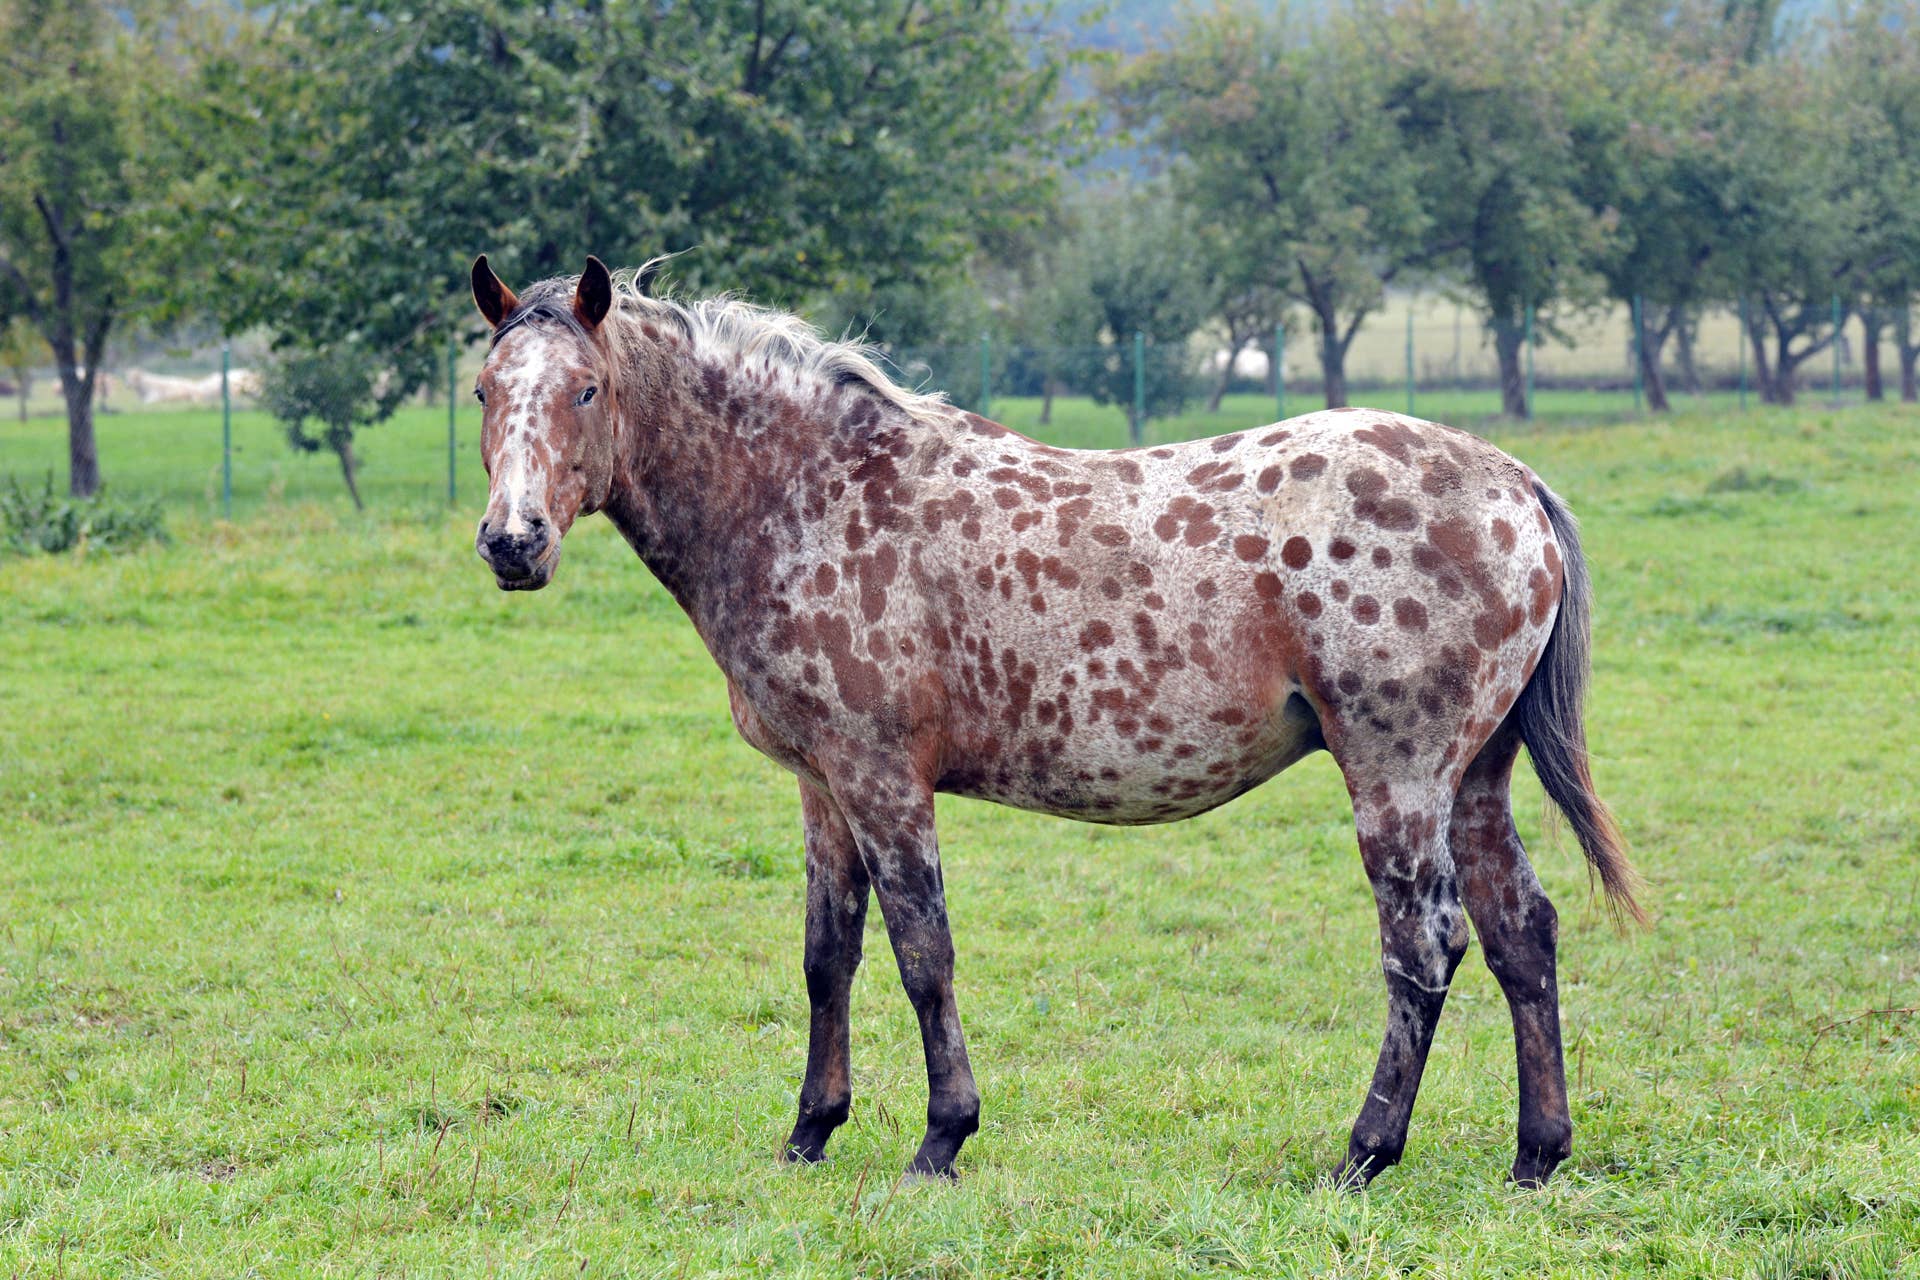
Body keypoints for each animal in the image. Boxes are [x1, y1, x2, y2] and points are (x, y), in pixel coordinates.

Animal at [465, 254, 1642, 1189]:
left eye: (585, 387)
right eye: (484, 387)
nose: (513, 543)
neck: (808, 492)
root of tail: (1516, 485)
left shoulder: (885, 780)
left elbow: (922, 953)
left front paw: (941, 1138)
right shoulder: (822, 784)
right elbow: (826, 956)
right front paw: (810, 1132)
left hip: (1397, 777)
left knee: (1424, 943)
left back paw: (1364, 1152)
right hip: (1473, 779)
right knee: (1522, 934)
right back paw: (1536, 1153)